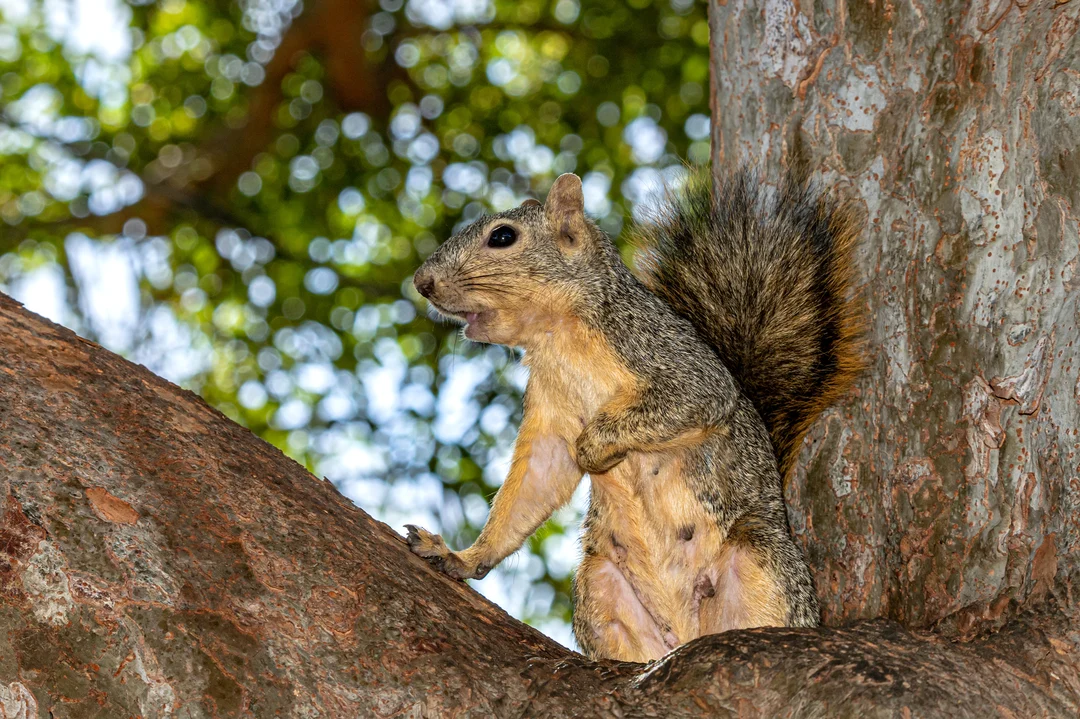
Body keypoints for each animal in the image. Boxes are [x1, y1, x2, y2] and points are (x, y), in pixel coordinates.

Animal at [405, 168, 863, 662]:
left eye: (502, 236)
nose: (422, 282)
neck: (557, 335)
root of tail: (685, 633)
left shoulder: (672, 361)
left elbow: (682, 403)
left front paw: (595, 445)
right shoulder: (550, 412)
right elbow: (539, 477)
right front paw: (464, 557)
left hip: (761, 560)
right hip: (600, 584)